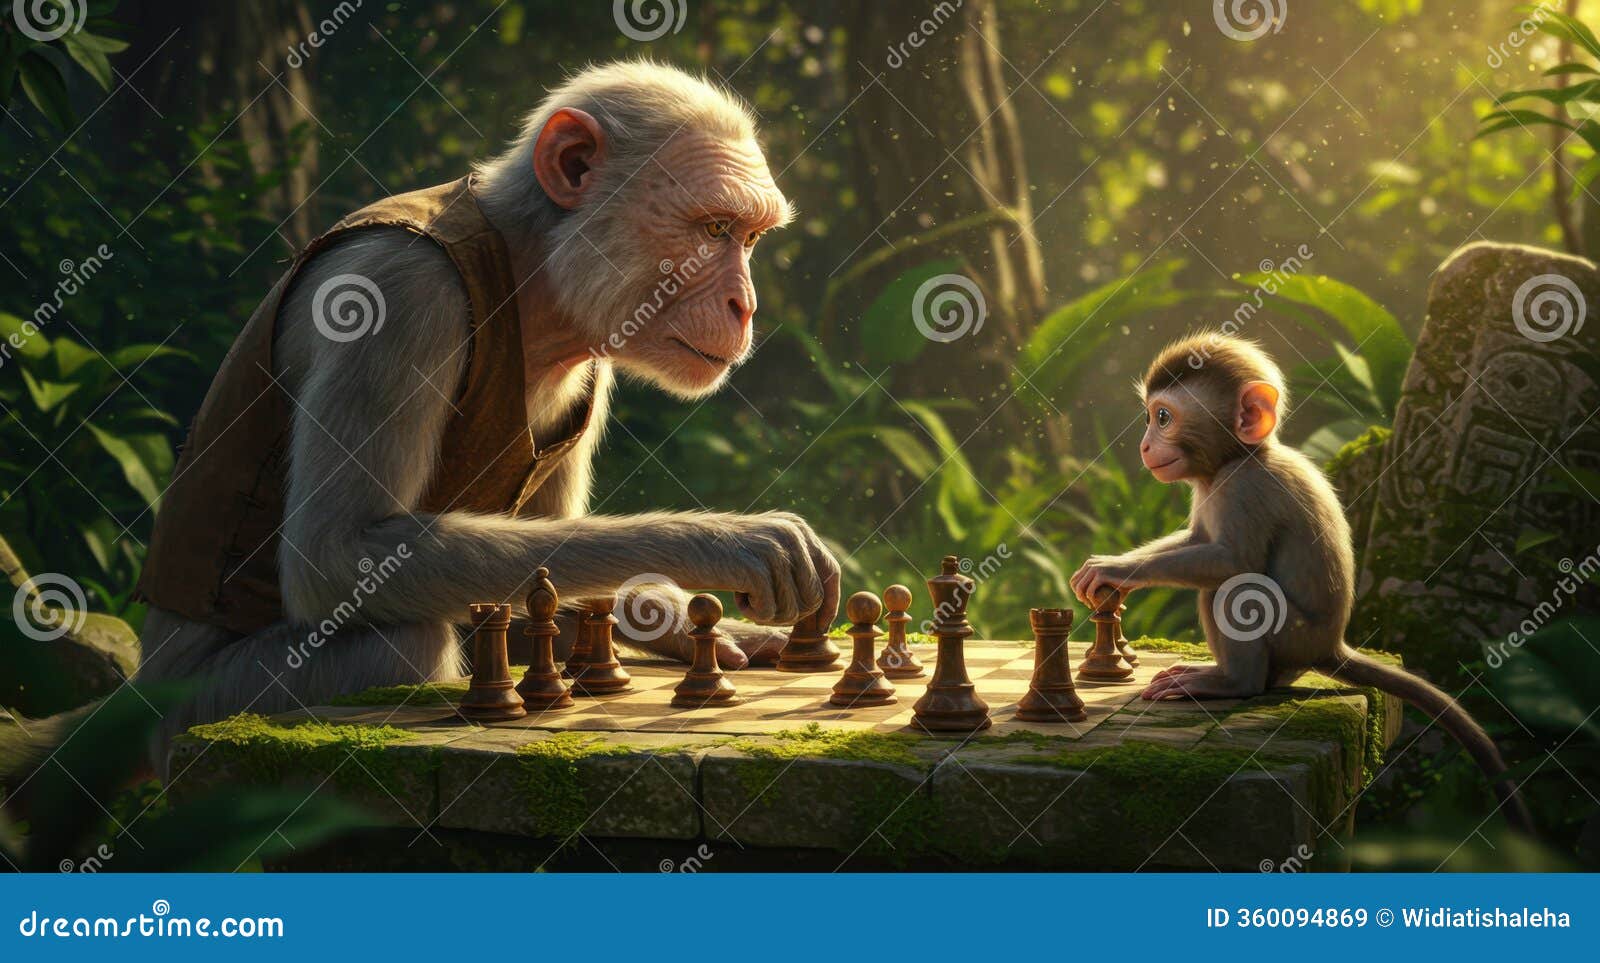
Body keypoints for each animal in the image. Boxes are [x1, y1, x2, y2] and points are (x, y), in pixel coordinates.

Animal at [1069, 333, 1534, 833]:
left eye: (1163, 418)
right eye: (1149, 417)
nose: (1143, 446)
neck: (1243, 455)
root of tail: (1330, 646)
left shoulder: (1244, 487)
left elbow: (1230, 560)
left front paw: (1115, 574)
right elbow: (1197, 541)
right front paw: (1112, 565)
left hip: (1293, 634)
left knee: (1236, 589)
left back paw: (1231, 682)